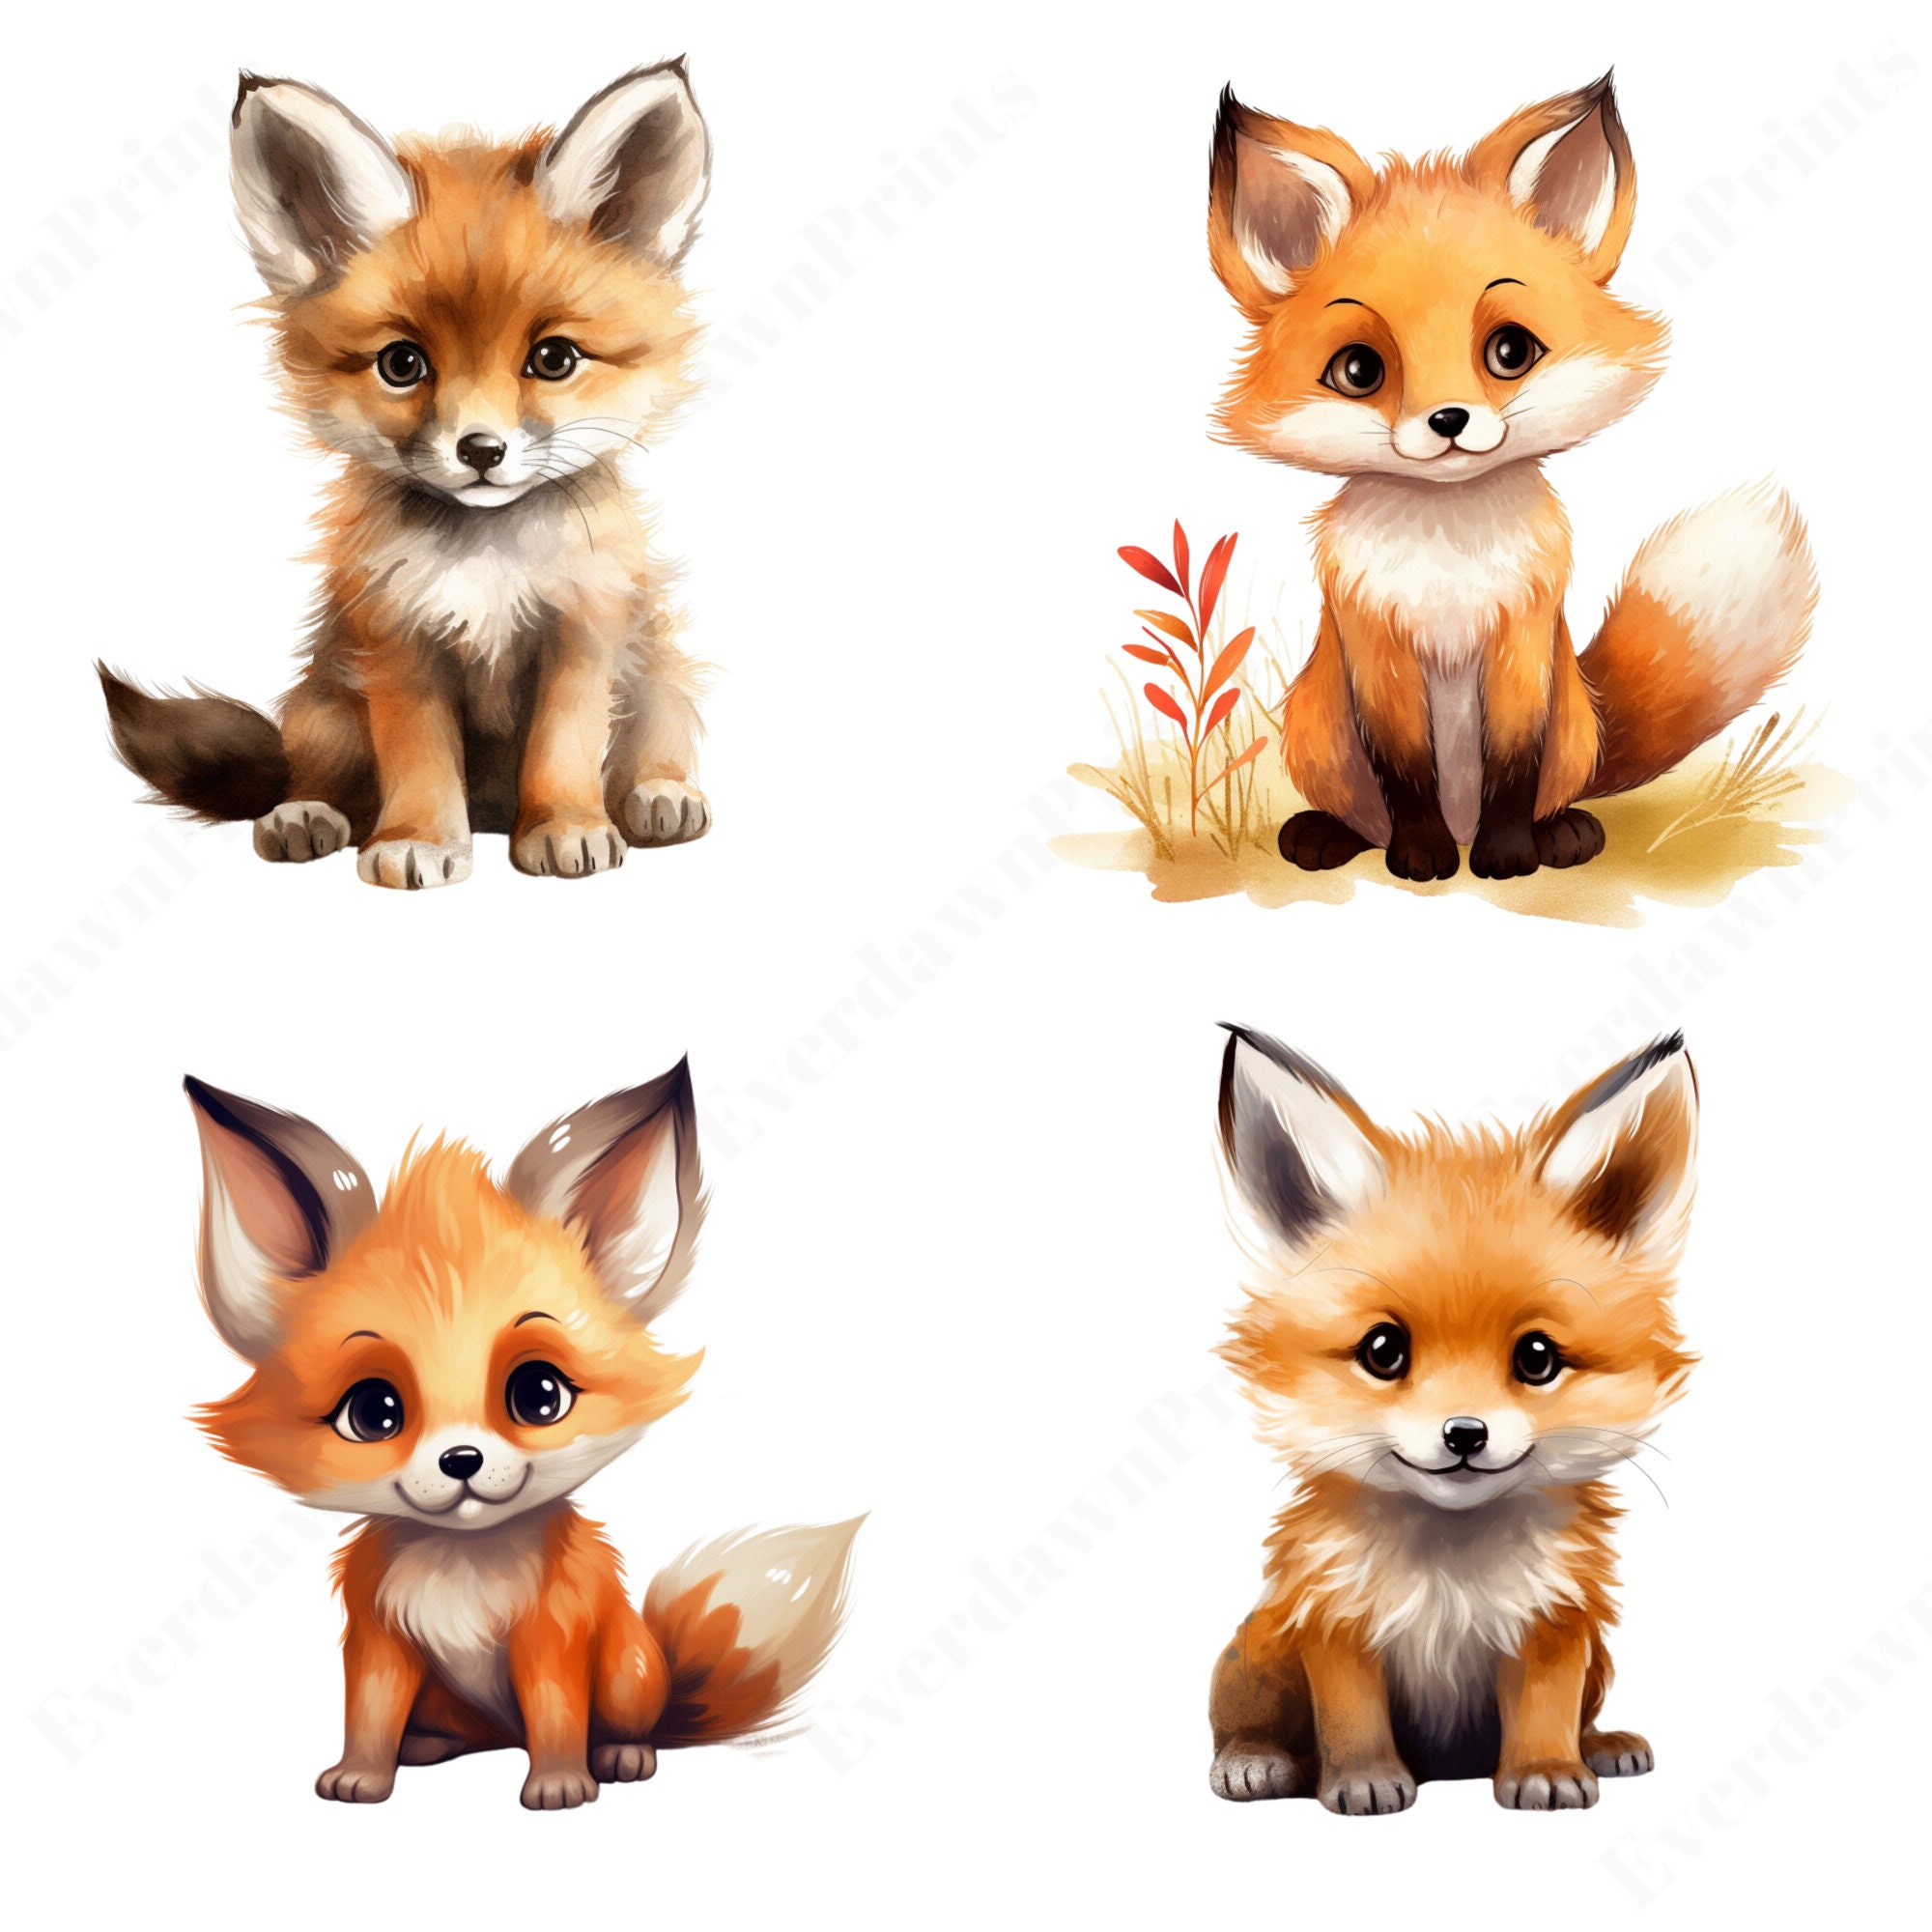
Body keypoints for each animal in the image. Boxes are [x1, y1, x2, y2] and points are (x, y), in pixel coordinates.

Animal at [99, 63, 716, 889]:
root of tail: (491, 810)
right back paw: (305, 814)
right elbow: (418, 758)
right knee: (318, 777)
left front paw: (565, 825)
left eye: (554, 358)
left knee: (654, 739)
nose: (480, 450)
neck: (490, 562)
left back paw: (659, 795)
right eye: (402, 364)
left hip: (656, 672)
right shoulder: (397, 640)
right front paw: (416, 838)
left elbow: (566, 747)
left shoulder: (583, 632)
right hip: (327, 704)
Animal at [182, 1058, 860, 1807]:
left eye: (540, 1396)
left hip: (626, 1670)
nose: (461, 1458)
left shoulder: (552, 1639)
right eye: (373, 1413)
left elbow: (558, 1716)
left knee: (628, 1725)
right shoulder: (379, 1638)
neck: (463, 1569)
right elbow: (369, 1714)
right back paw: (427, 1746)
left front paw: (561, 1783)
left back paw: (622, 1754)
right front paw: (362, 1774)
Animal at [1206, 75, 1817, 881]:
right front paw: (1423, 854)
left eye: (1510, 351)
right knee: (1362, 813)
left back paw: (1561, 833)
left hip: (1570, 729)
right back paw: (1329, 835)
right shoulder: (1378, 647)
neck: (1449, 562)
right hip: (1319, 731)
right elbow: (1406, 771)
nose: (1449, 420)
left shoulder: (1523, 636)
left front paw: (1508, 853)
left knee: (1555, 790)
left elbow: (1513, 764)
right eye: (1359, 370)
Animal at [1207, 1025, 1698, 1812]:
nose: (1465, 1433)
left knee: (1585, 1713)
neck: (1452, 1570)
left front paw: (1546, 1770)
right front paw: (1364, 1780)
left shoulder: (1556, 1621)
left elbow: (1546, 1710)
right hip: (1259, 1650)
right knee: (1240, 1720)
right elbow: (1352, 1717)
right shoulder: (1336, 1621)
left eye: (1537, 1358)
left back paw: (1602, 1745)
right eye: (1383, 1351)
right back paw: (1255, 1760)